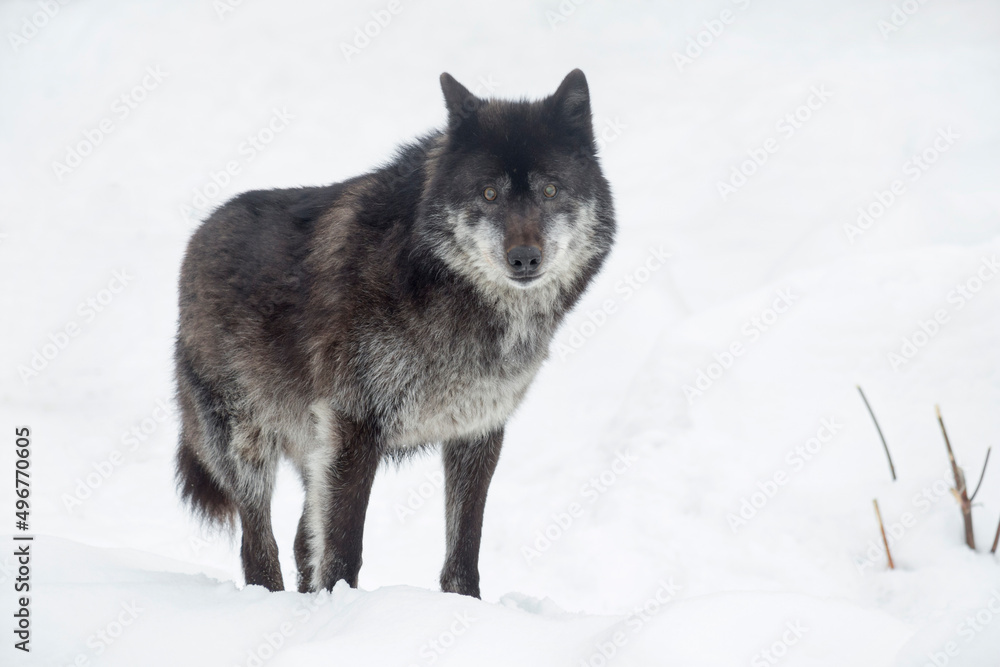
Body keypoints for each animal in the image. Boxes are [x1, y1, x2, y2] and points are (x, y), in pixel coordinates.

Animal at [174, 69, 615, 597]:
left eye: (550, 190)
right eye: (489, 194)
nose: (525, 258)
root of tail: (198, 237)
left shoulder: (477, 431)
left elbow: (463, 552)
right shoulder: (355, 424)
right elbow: (344, 548)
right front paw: (340, 605)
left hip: (311, 453)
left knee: (302, 540)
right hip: (247, 444)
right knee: (259, 547)